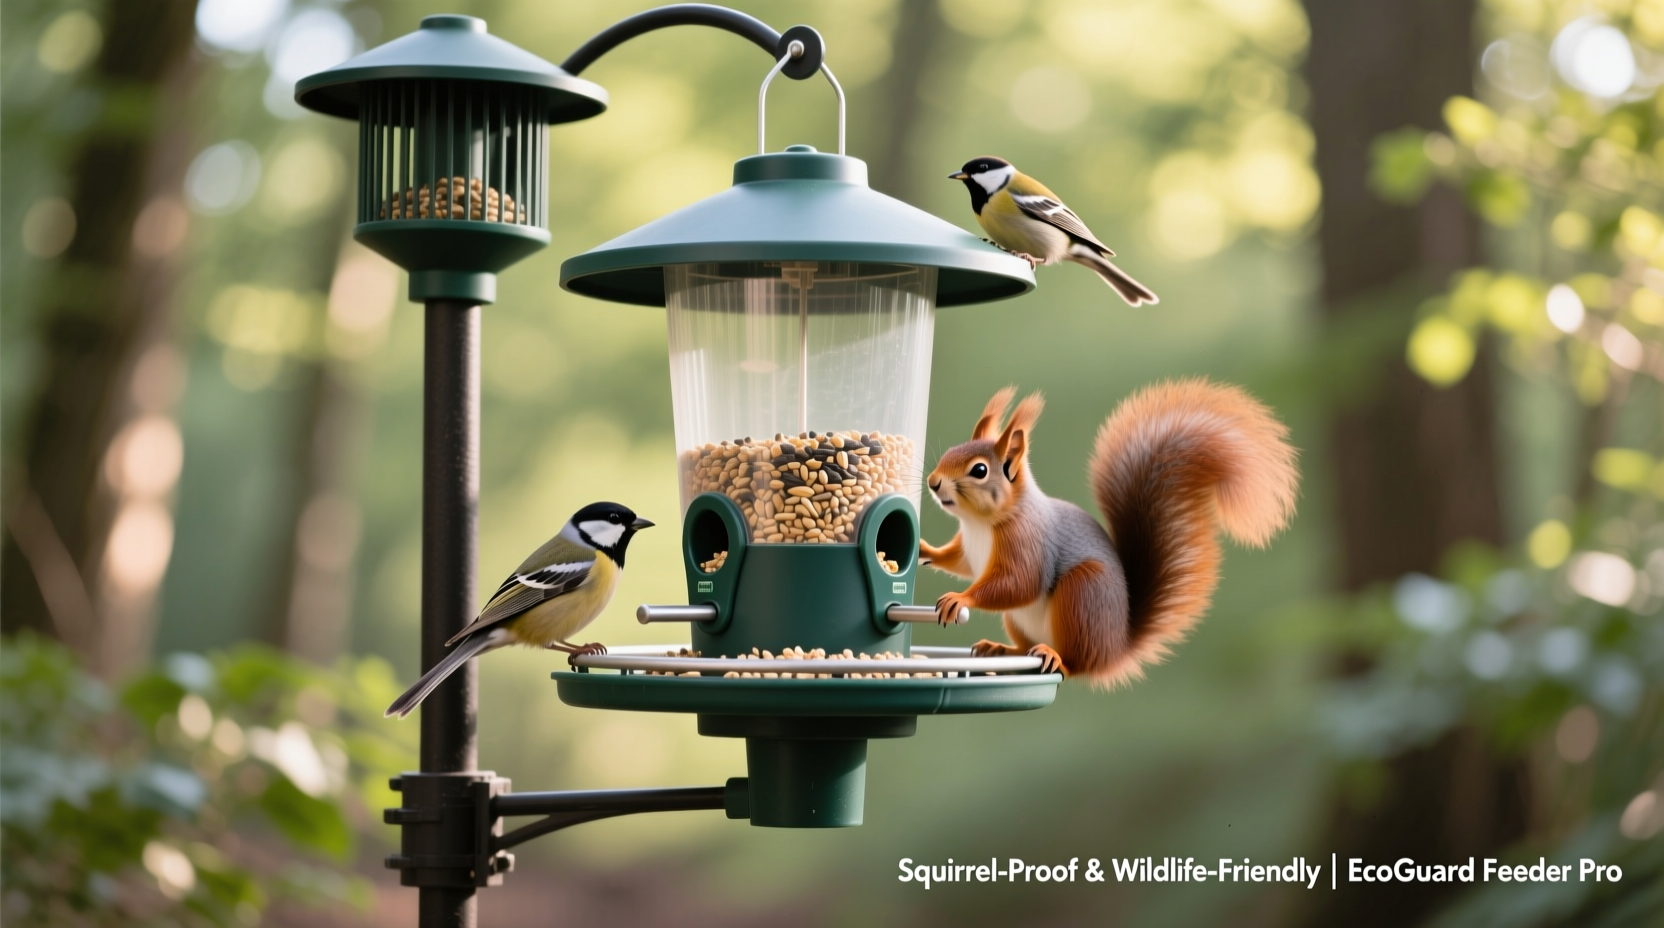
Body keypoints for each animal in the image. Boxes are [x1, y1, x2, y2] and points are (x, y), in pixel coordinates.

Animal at [917, 379, 1299, 686]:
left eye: (979, 470)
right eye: (950, 451)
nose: (933, 482)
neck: (979, 524)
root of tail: (1116, 649)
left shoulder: (1027, 543)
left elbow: (1018, 583)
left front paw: (960, 598)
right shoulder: (970, 550)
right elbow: (959, 562)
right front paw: (924, 550)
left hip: (1083, 594)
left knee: (1076, 664)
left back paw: (1056, 657)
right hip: (1022, 620)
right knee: (1025, 649)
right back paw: (1001, 648)